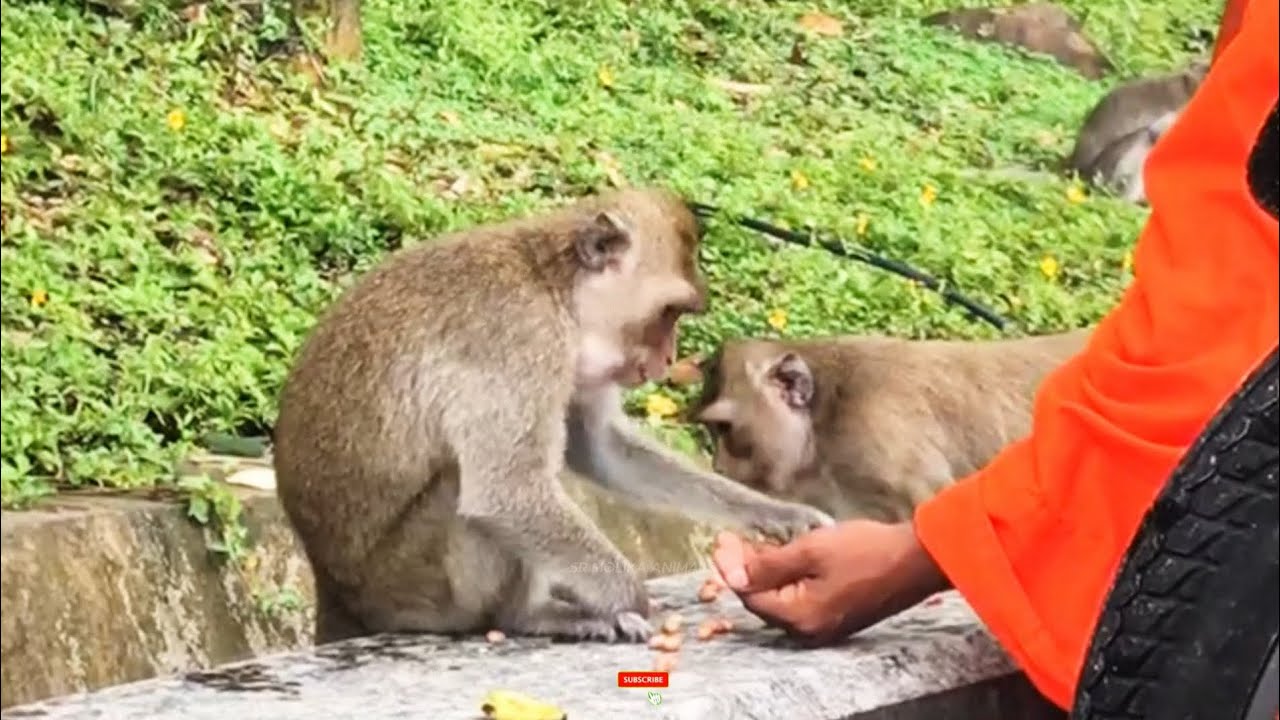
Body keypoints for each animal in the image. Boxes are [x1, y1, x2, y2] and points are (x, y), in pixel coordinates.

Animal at [271, 187, 834, 646]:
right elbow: (507, 490)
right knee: (464, 487)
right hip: (415, 586)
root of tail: (335, 592)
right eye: (669, 313)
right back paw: (526, 616)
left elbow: (599, 449)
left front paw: (779, 514)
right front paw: (630, 598)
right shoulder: (520, 339)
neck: (552, 285)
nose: (670, 358)